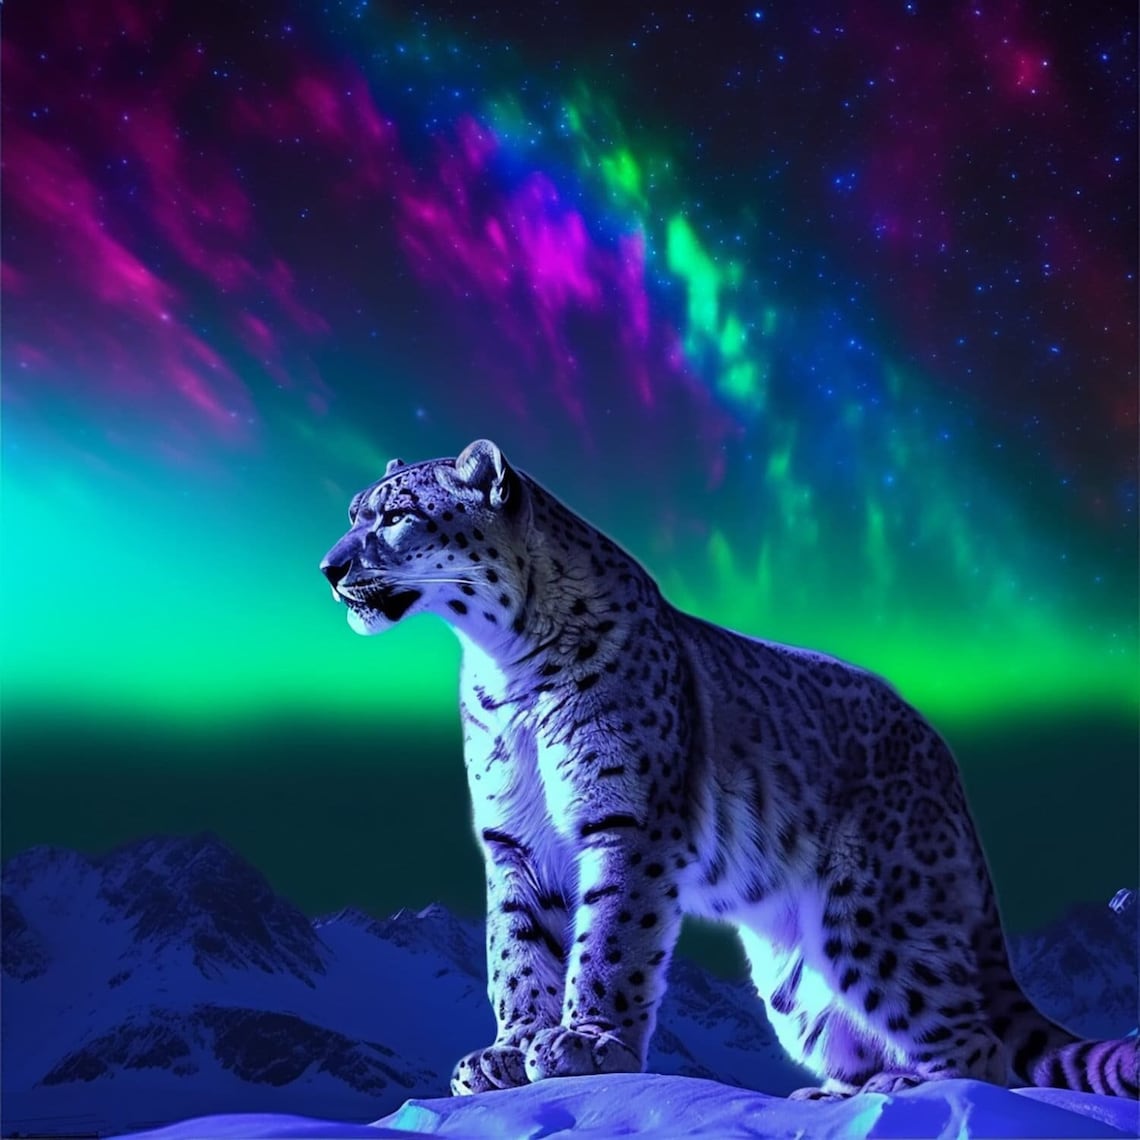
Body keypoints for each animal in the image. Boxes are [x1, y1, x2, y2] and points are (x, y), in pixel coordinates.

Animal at [320, 438, 1138, 1101]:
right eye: (353, 512)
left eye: (395, 516)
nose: (330, 566)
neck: (504, 669)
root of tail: (944, 760)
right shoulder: (514, 839)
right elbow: (517, 951)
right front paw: (507, 1052)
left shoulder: (627, 820)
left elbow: (610, 939)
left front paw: (587, 1043)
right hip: (797, 989)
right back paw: (835, 1094)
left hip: (877, 919)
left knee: (977, 1044)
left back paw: (903, 1089)